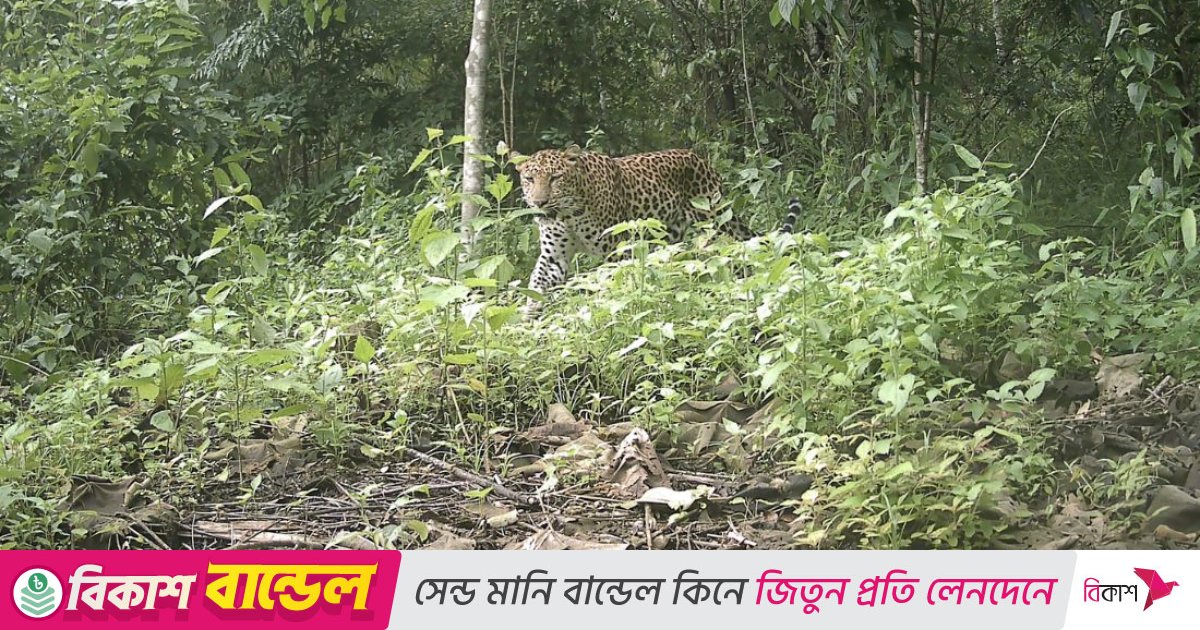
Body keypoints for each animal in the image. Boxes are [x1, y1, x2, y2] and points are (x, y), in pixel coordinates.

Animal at [513, 144, 800, 299]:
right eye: (529, 179)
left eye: (555, 178)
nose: (539, 203)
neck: (568, 213)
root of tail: (702, 160)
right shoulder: (554, 256)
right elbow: (536, 284)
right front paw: (528, 323)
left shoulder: (617, 250)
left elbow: (612, 282)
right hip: (666, 238)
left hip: (716, 221)